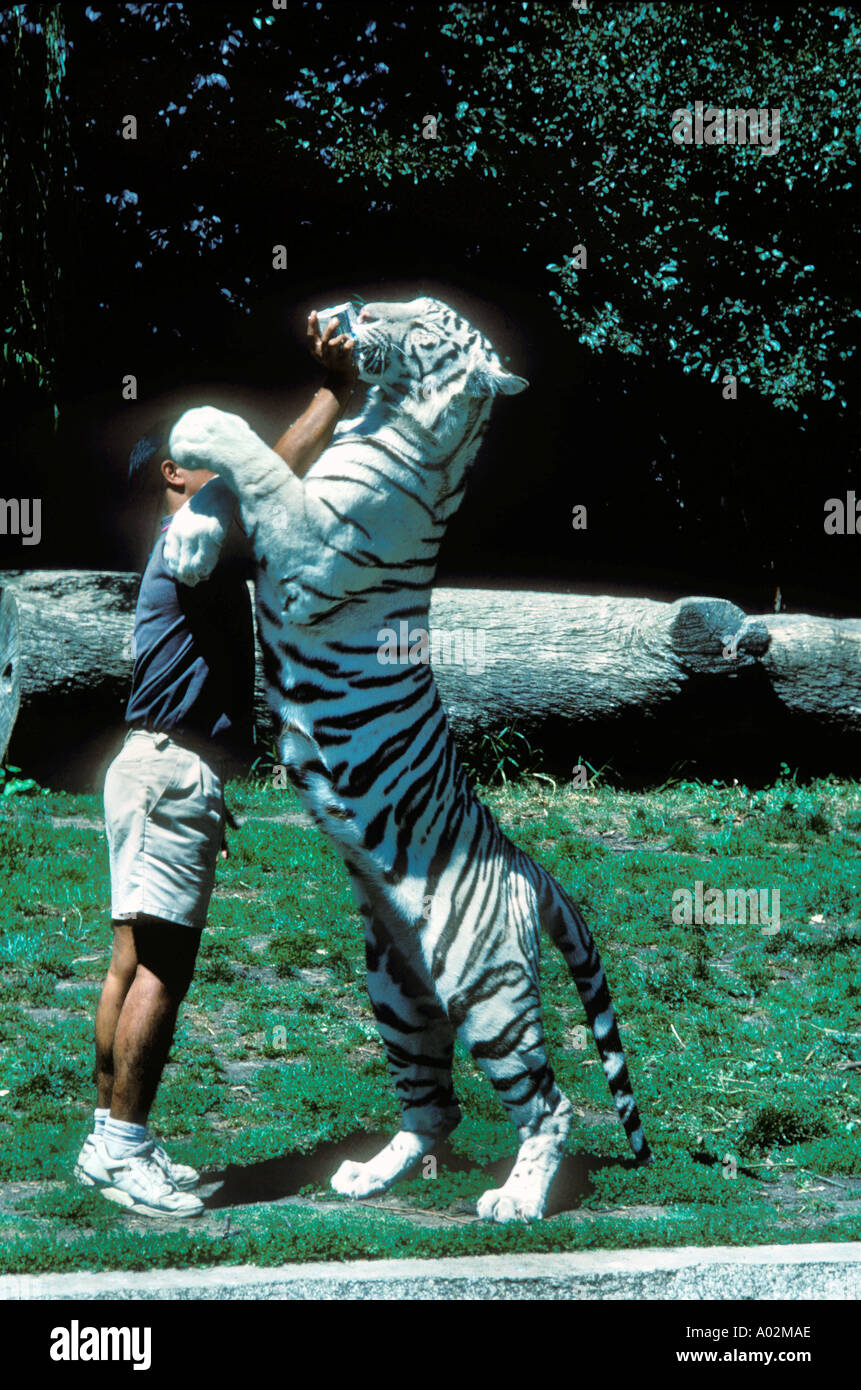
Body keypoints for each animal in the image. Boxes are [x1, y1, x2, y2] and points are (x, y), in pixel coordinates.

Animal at [163, 295, 653, 1222]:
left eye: (423, 327)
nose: (353, 309)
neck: (381, 416)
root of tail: (527, 866)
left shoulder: (310, 541)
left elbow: (252, 461)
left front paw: (197, 424)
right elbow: (228, 488)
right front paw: (186, 541)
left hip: (486, 989)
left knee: (549, 1103)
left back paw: (516, 1201)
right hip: (396, 985)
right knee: (434, 1105)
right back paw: (367, 1175)